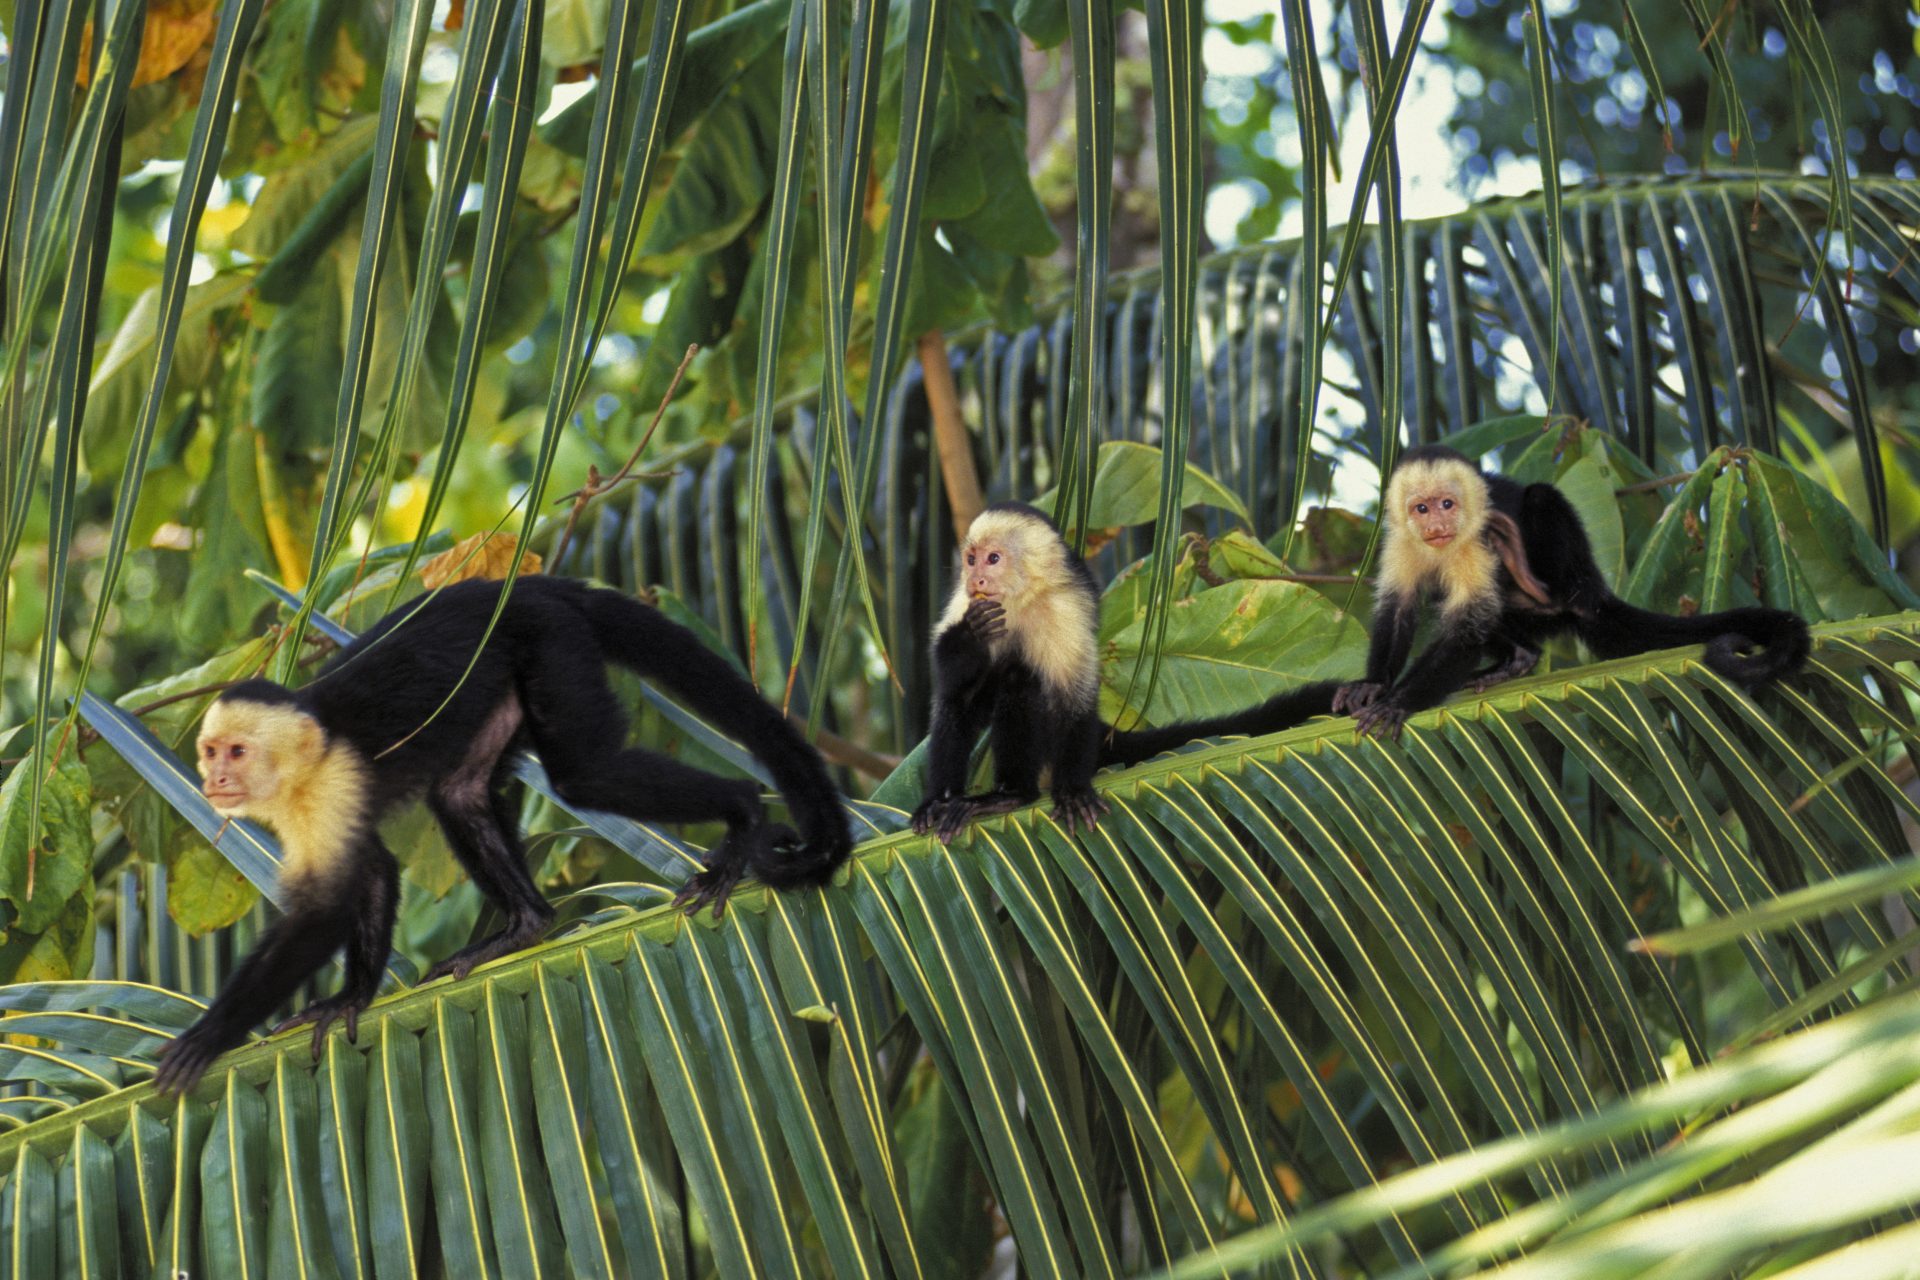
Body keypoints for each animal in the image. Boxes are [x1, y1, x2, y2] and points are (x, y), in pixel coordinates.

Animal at [152, 575, 849, 1094]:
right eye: (210, 751)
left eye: (237, 752)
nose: (213, 778)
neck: (305, 757)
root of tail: (522, 587)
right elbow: (373, 868)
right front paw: (349, 997)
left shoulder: (330, 783)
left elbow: (326, 910)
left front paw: (211, 1035)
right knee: (459, 794)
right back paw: (525, 925)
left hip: (551, 642)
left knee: (584, 775)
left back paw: (742, 816)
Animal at [910, 503, 1342, 844]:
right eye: (971, 559)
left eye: (994, 559)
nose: (976, 579)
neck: (1021, 601)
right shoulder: (964, 601)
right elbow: (949, 676)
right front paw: (971, 635)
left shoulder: (1063, 610)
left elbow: (1075, 699)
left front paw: (1073, 791)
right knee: (961, 698)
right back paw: (942, 801)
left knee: (1021, 680)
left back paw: (1013, 794)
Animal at [1334, 444, 1810, 739]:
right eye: (1422, 508)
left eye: (1447, 504)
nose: (1436, 525)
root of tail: (1596, 591)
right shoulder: (1400, 541)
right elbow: (1398, 609)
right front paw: (1372, 686)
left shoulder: (1475, 539)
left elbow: (1468, 627)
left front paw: (1398, 702)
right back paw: (1518, 659)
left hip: (1574, 574)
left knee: (1541, 500)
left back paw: (1533, 580)